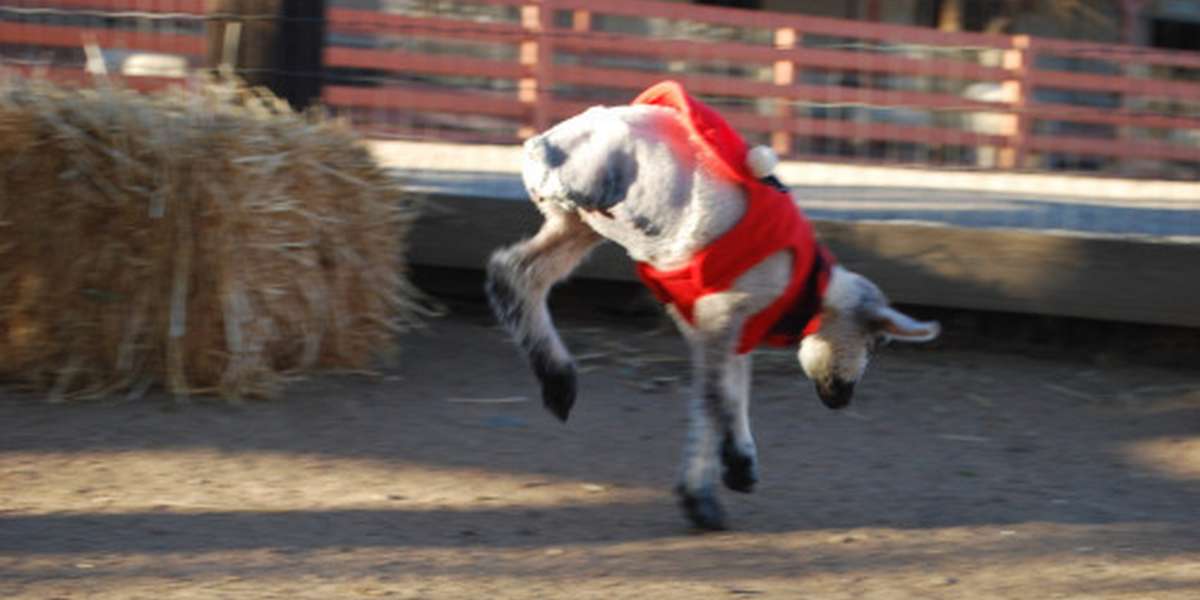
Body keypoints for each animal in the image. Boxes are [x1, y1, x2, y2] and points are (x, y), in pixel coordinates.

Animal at [486, 81, 940, 530]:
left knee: (515, 273)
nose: (842, 399)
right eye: (877, 340)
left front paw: (738, 463)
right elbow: (712, 397)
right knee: (541, 248)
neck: (807, 285)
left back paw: (558, 383)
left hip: (575, 226)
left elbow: (732, 389)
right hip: (596, 183)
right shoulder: (724, 309)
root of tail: (544, 144)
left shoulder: (715, 321)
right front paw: (702, 498)